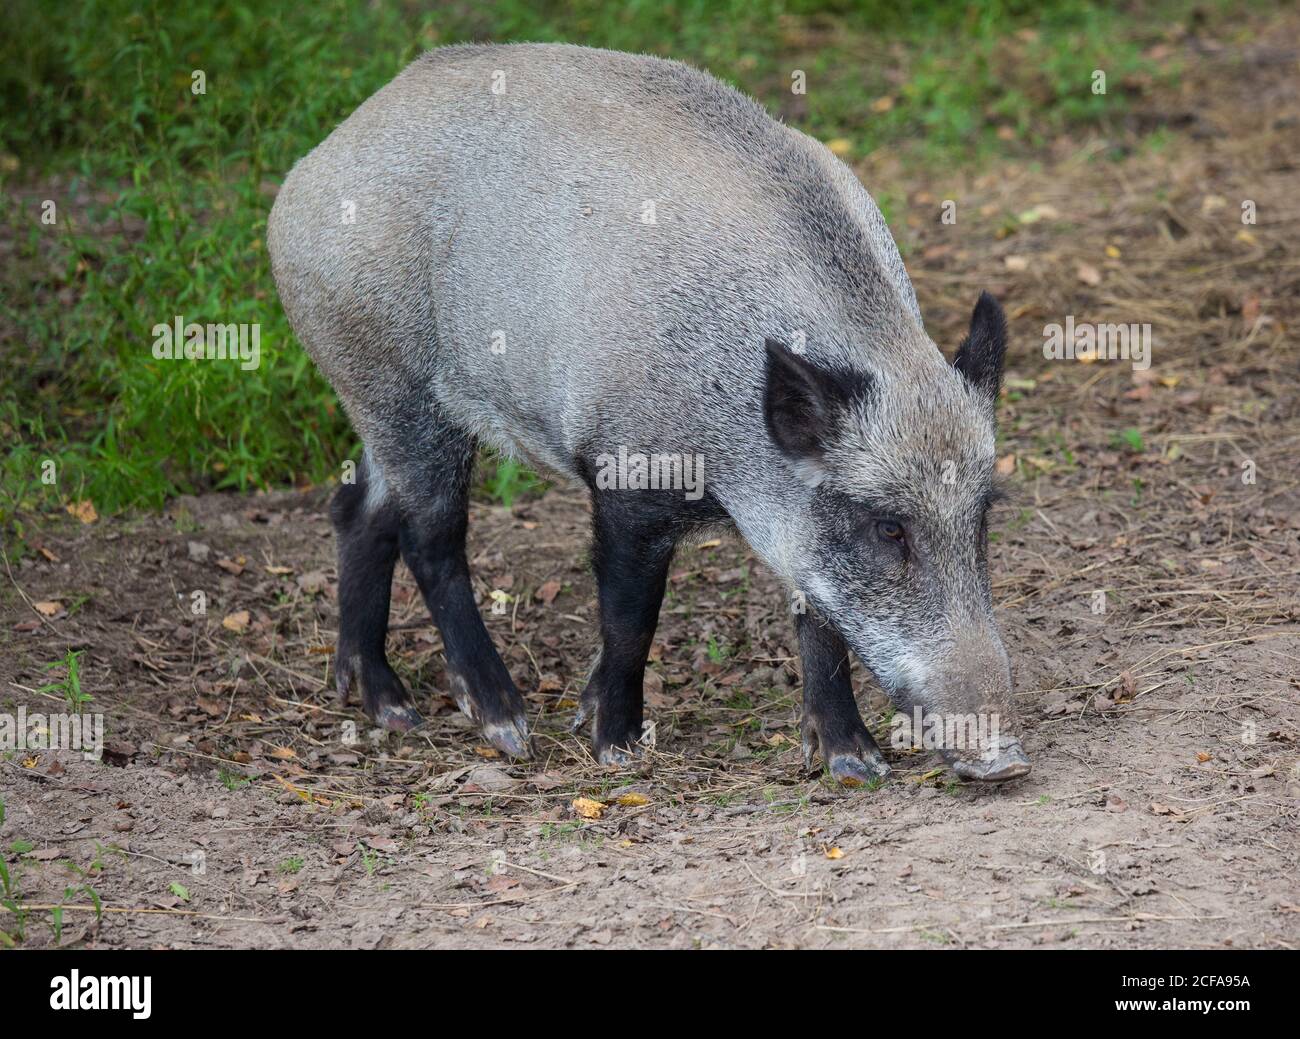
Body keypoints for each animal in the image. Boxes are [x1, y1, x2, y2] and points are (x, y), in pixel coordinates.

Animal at [267, 43, 1031, 785]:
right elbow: (632, 617)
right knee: (429, 536)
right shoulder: (627, 475)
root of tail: (307, 172)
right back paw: (506, 727)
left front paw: (855, 765)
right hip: (395, 382)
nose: (1003, 762)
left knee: (357, 510)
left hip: (374, 401)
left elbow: (818, 616)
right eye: (888, 527)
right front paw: (616, 748)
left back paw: (386, 706)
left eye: (982, 517)